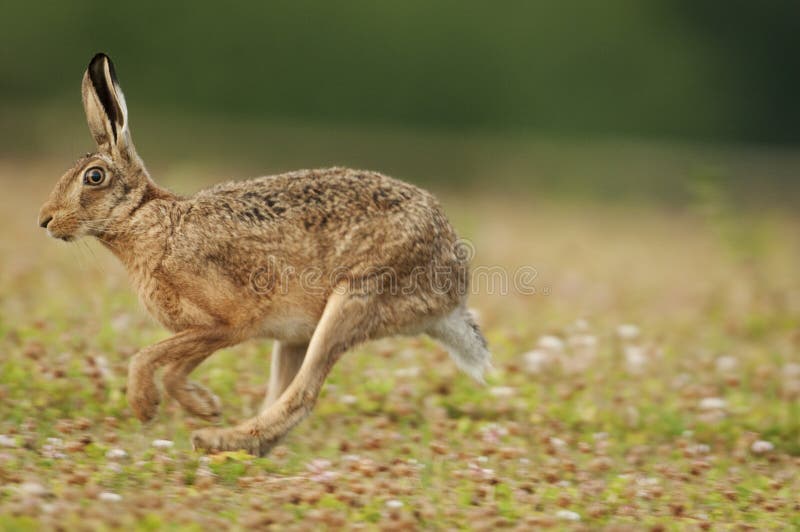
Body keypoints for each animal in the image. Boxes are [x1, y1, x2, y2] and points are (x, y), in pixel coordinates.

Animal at [37, 53, 491, 456]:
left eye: (94, 177)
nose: (46, 220)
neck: (146, 219)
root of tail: (453, 291)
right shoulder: (211, 332)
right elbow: (176, 366)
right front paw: (204, 404)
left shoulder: (230, 321)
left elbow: (149, 357)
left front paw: (149, 405)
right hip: (298, 335)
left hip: (356, 298)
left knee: (303, 395)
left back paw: (219, 440)